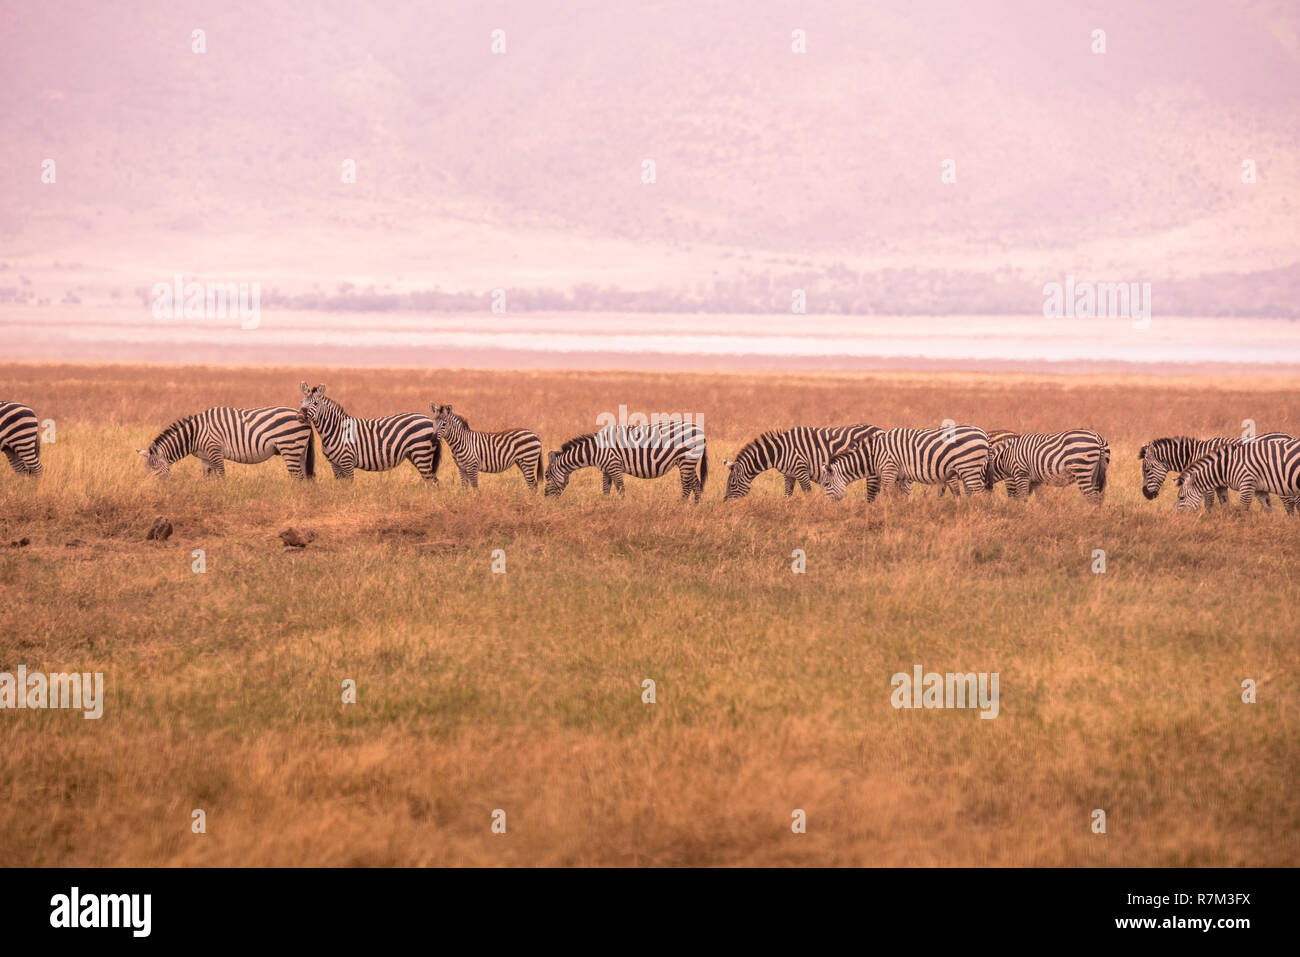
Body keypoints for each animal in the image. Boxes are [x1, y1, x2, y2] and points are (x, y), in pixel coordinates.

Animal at [136, 407, 315, 478]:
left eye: (154, 469)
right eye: (146, 470)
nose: (147, 488)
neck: (194, 434)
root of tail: (304, 416)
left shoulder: (215, 449)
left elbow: (221, 475)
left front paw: (223, 493)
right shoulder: (205, 457)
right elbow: (207, 477)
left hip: (289, 447)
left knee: (297, 476)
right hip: (299, 451)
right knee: (304, 477)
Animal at [298, 382, 439, 481]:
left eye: (315, 403)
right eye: (301, 401)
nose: (300, 415)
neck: (335, 430)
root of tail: (428, 419)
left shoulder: (347, 461)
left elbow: (349, 485)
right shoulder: (335, 464)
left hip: (421, 452)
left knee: (432, 481)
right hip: (415, 455)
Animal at [544, 420, 707, 501]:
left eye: (546, 476)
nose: (545, 499)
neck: (596, 450)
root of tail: (699, 430)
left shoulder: (614, 465)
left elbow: (620, 489)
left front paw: (622, 507)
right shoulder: (606, 469)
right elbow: (605, 490)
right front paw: (605, 506)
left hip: (686, 460)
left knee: (687, 486)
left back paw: (681, 506)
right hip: (688, 462)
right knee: (696, 484)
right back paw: (694, 508)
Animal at [721, 425, 880, 500]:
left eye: (732, 484)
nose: (726, 503)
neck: (779, 451)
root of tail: (879, 429)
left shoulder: (801, 470)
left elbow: (807, 493)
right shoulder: (789, 474)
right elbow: (787, 495)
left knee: (872, 494)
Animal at [1141, 435, 1289, 510]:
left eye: (1147, 471)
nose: (1146, 495)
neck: (1195, 453)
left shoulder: (1207, 482)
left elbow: (1209, 503)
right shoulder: (1219, 484)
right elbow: (1224, 502)